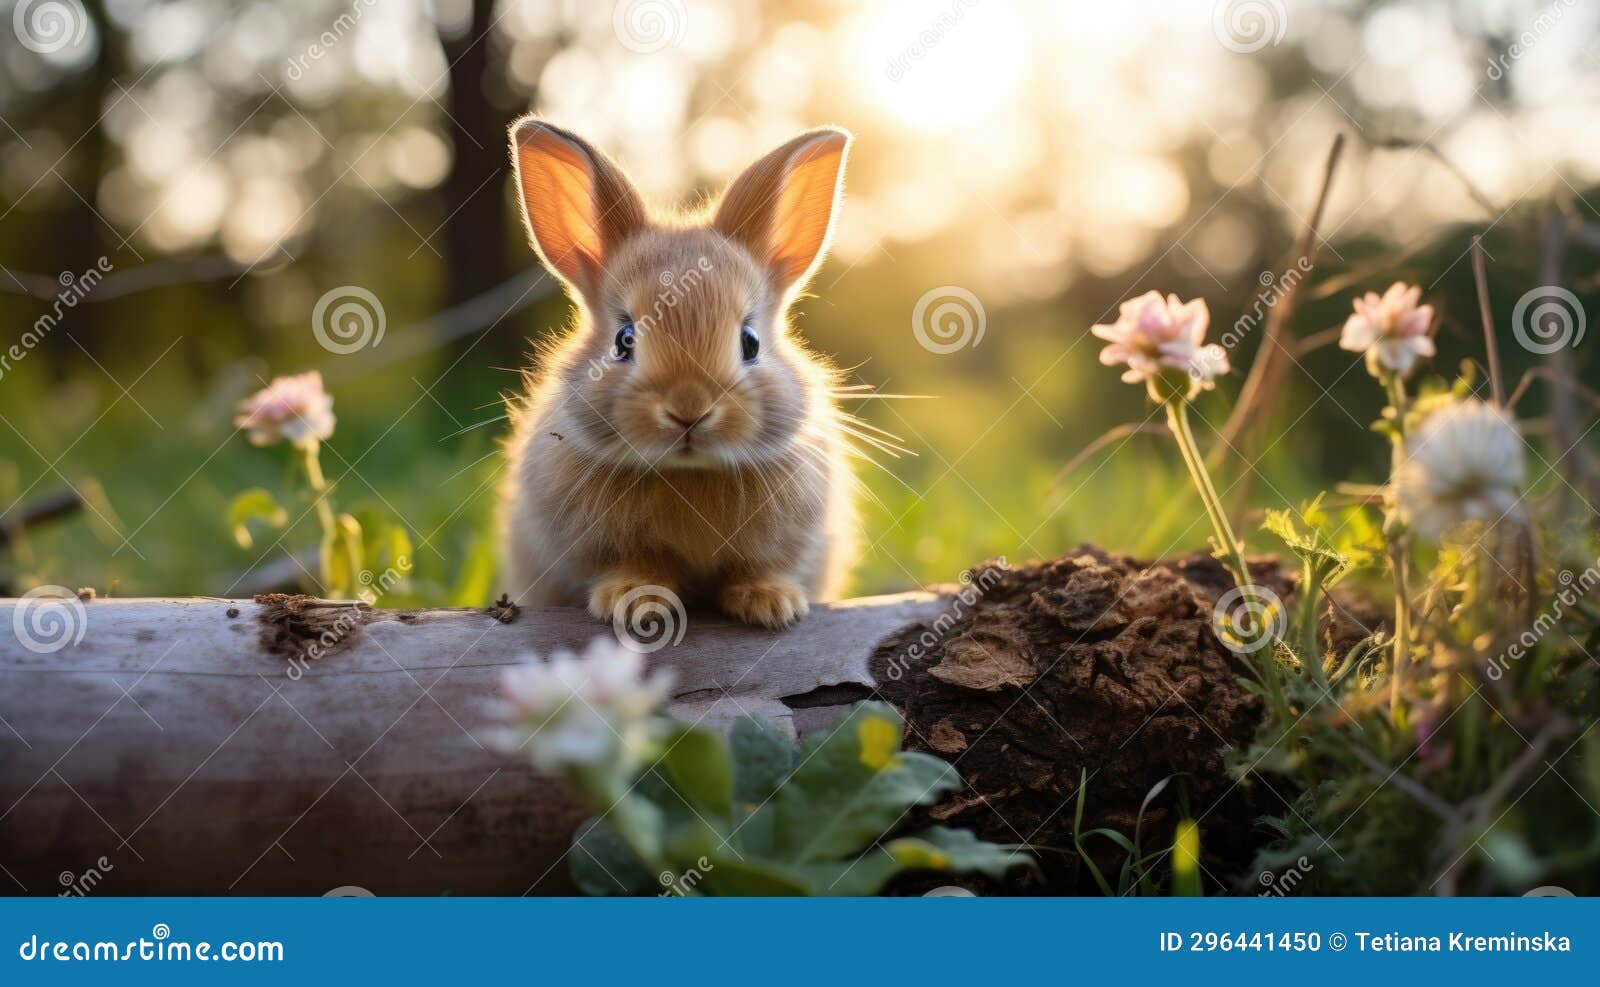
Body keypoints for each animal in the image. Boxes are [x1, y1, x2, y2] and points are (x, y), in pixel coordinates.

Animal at [498, 116, 863, 629]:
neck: (687, 473)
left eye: (750, 342)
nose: (689, 410)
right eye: (624, 339)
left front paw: (771, 602)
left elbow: (758, 566)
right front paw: (632, 600)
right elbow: (634, 565)